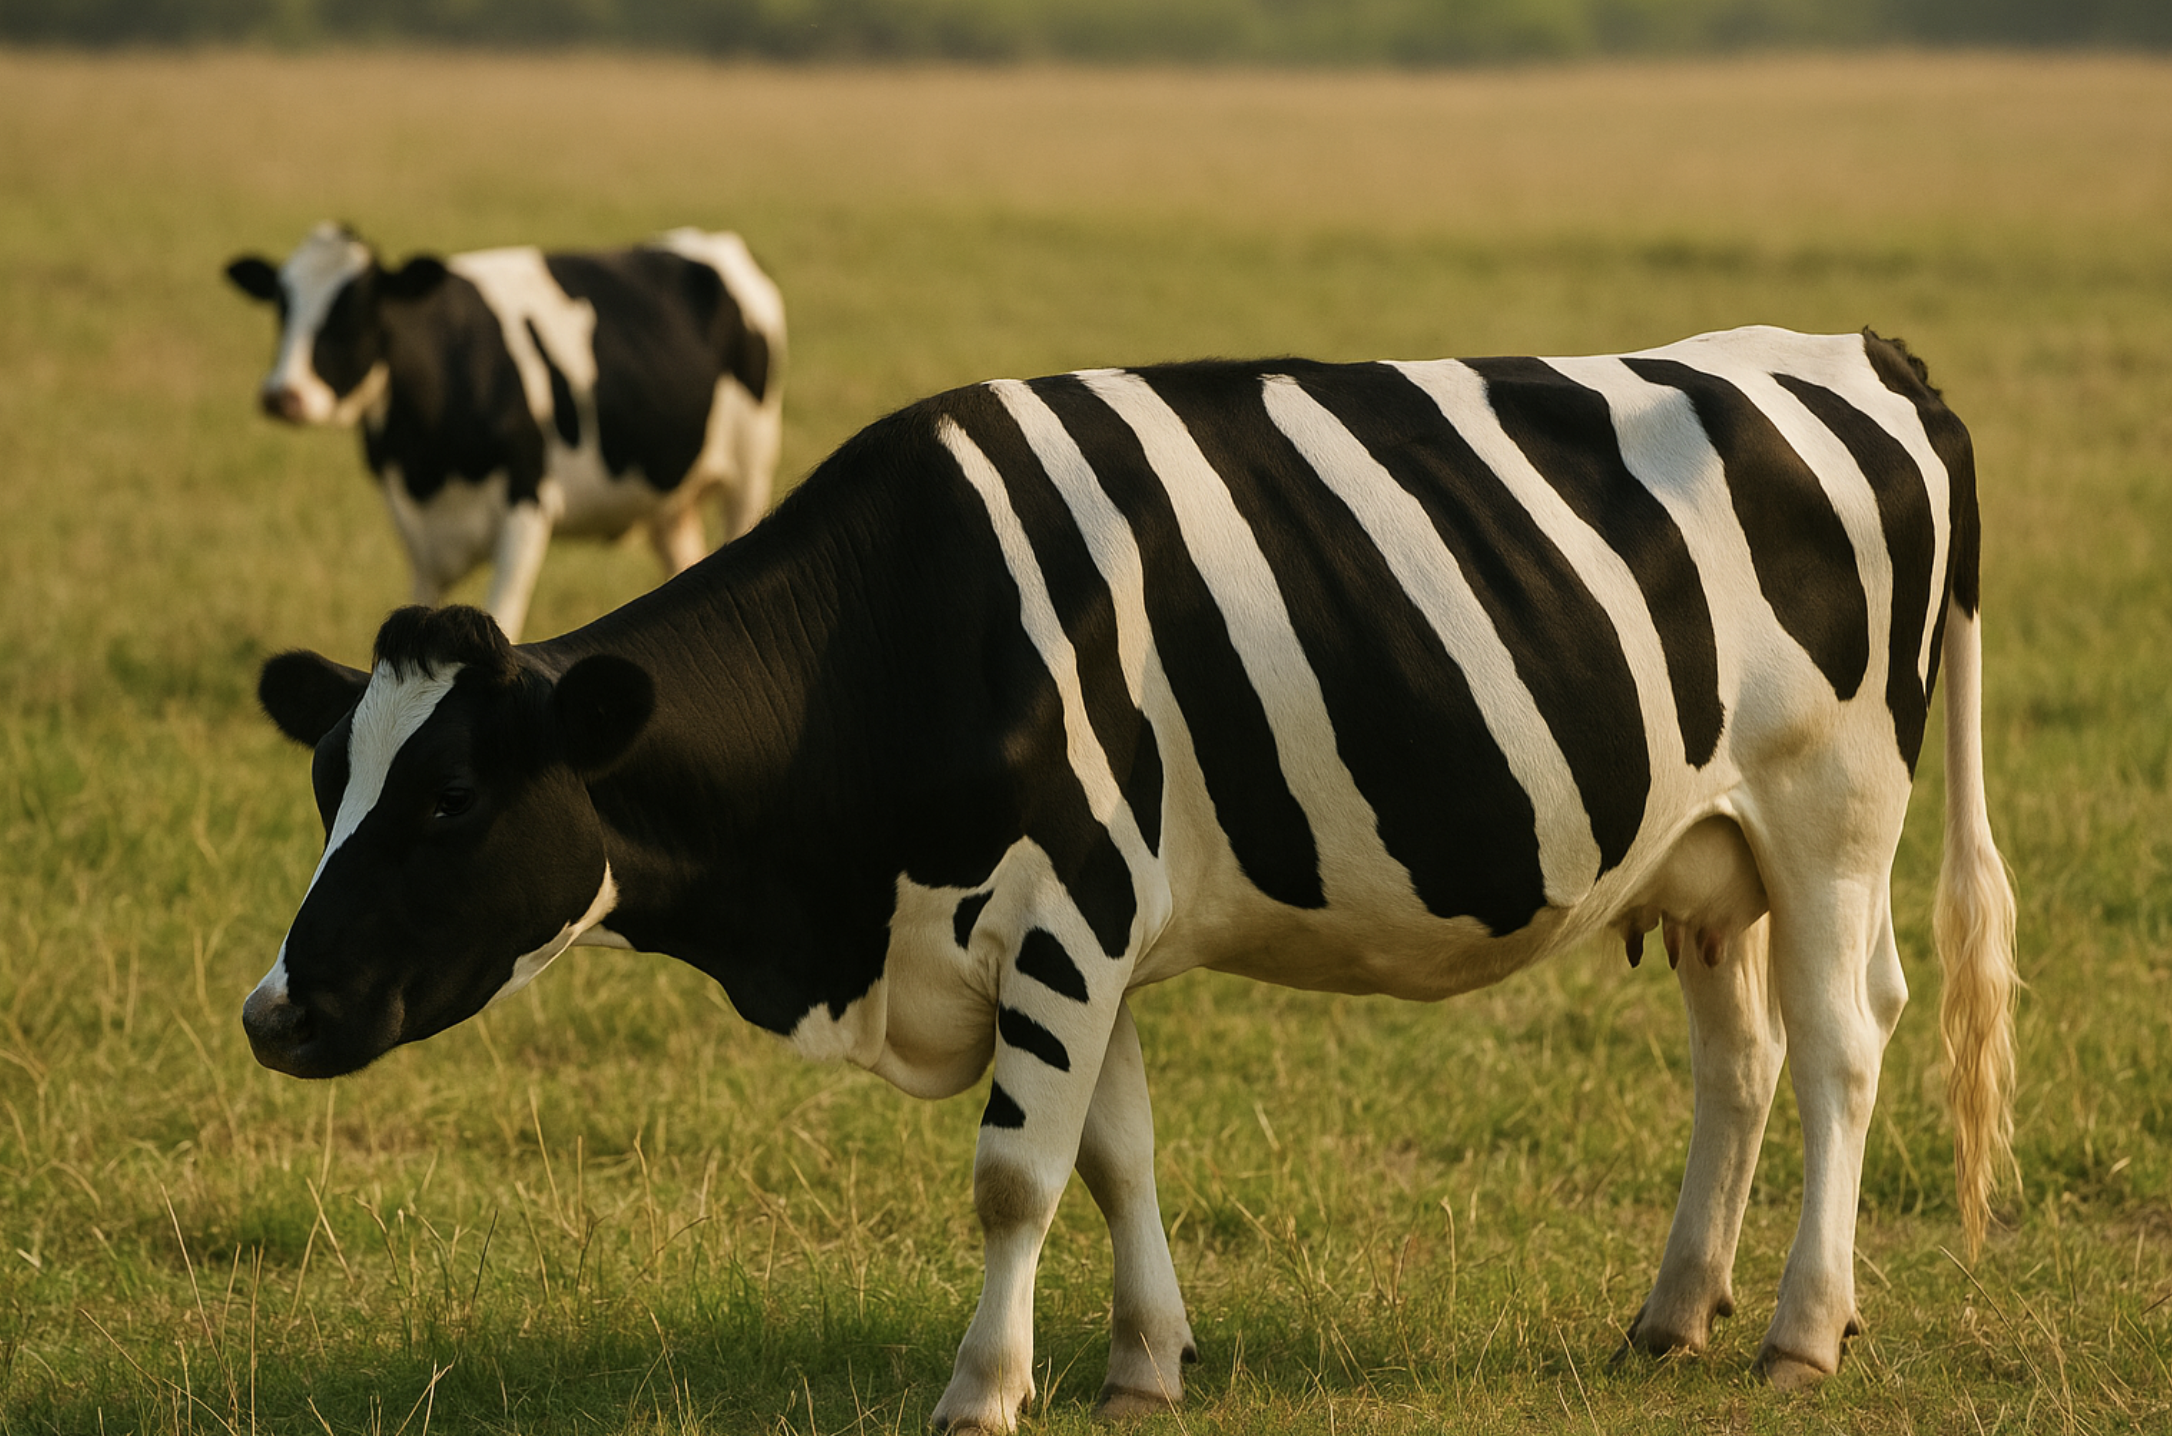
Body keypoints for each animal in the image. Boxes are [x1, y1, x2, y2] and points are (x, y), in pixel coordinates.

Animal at [226, 223, 785, 641]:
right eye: (282, 306)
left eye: (358, 309)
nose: (282, 394)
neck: (428, 466)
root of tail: (712, 242)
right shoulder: (414, 529)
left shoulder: (527, 507)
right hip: (670, 502)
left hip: (748, 475)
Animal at [244, 327, 2017, 1431]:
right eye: (330, 779)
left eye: (453, 797)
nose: (274, 1011)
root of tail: (1860, 355)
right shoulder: (1075, 937)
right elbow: (1116, 1154)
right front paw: (1144, 1364)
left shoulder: (1067, 906)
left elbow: (1016, 1175)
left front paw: (983, 1388)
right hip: (1710, 847)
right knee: (1744, 1062)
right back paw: (1674, 1311)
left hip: (1833, 811)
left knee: (1844, 1051)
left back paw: (1801, 1329)